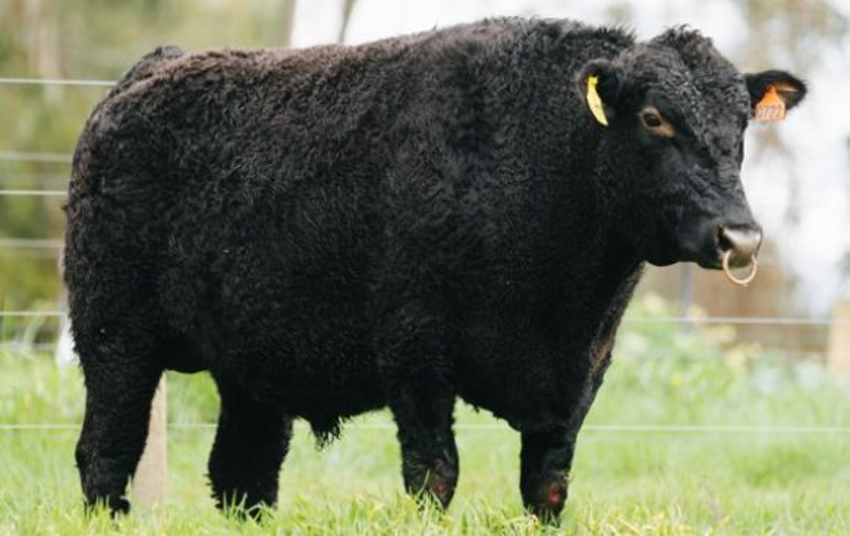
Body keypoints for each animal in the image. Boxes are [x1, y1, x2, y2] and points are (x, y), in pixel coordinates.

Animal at [64, 17, 806, 522]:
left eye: (742, 128)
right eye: (654, 118)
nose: (740, 236)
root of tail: (154, 67)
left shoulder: (583, 371)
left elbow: (547, 485)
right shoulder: (415, 348)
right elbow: (434, 475)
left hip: (250, 364)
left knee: (242, 476)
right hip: (113, 334)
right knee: (106, 452)